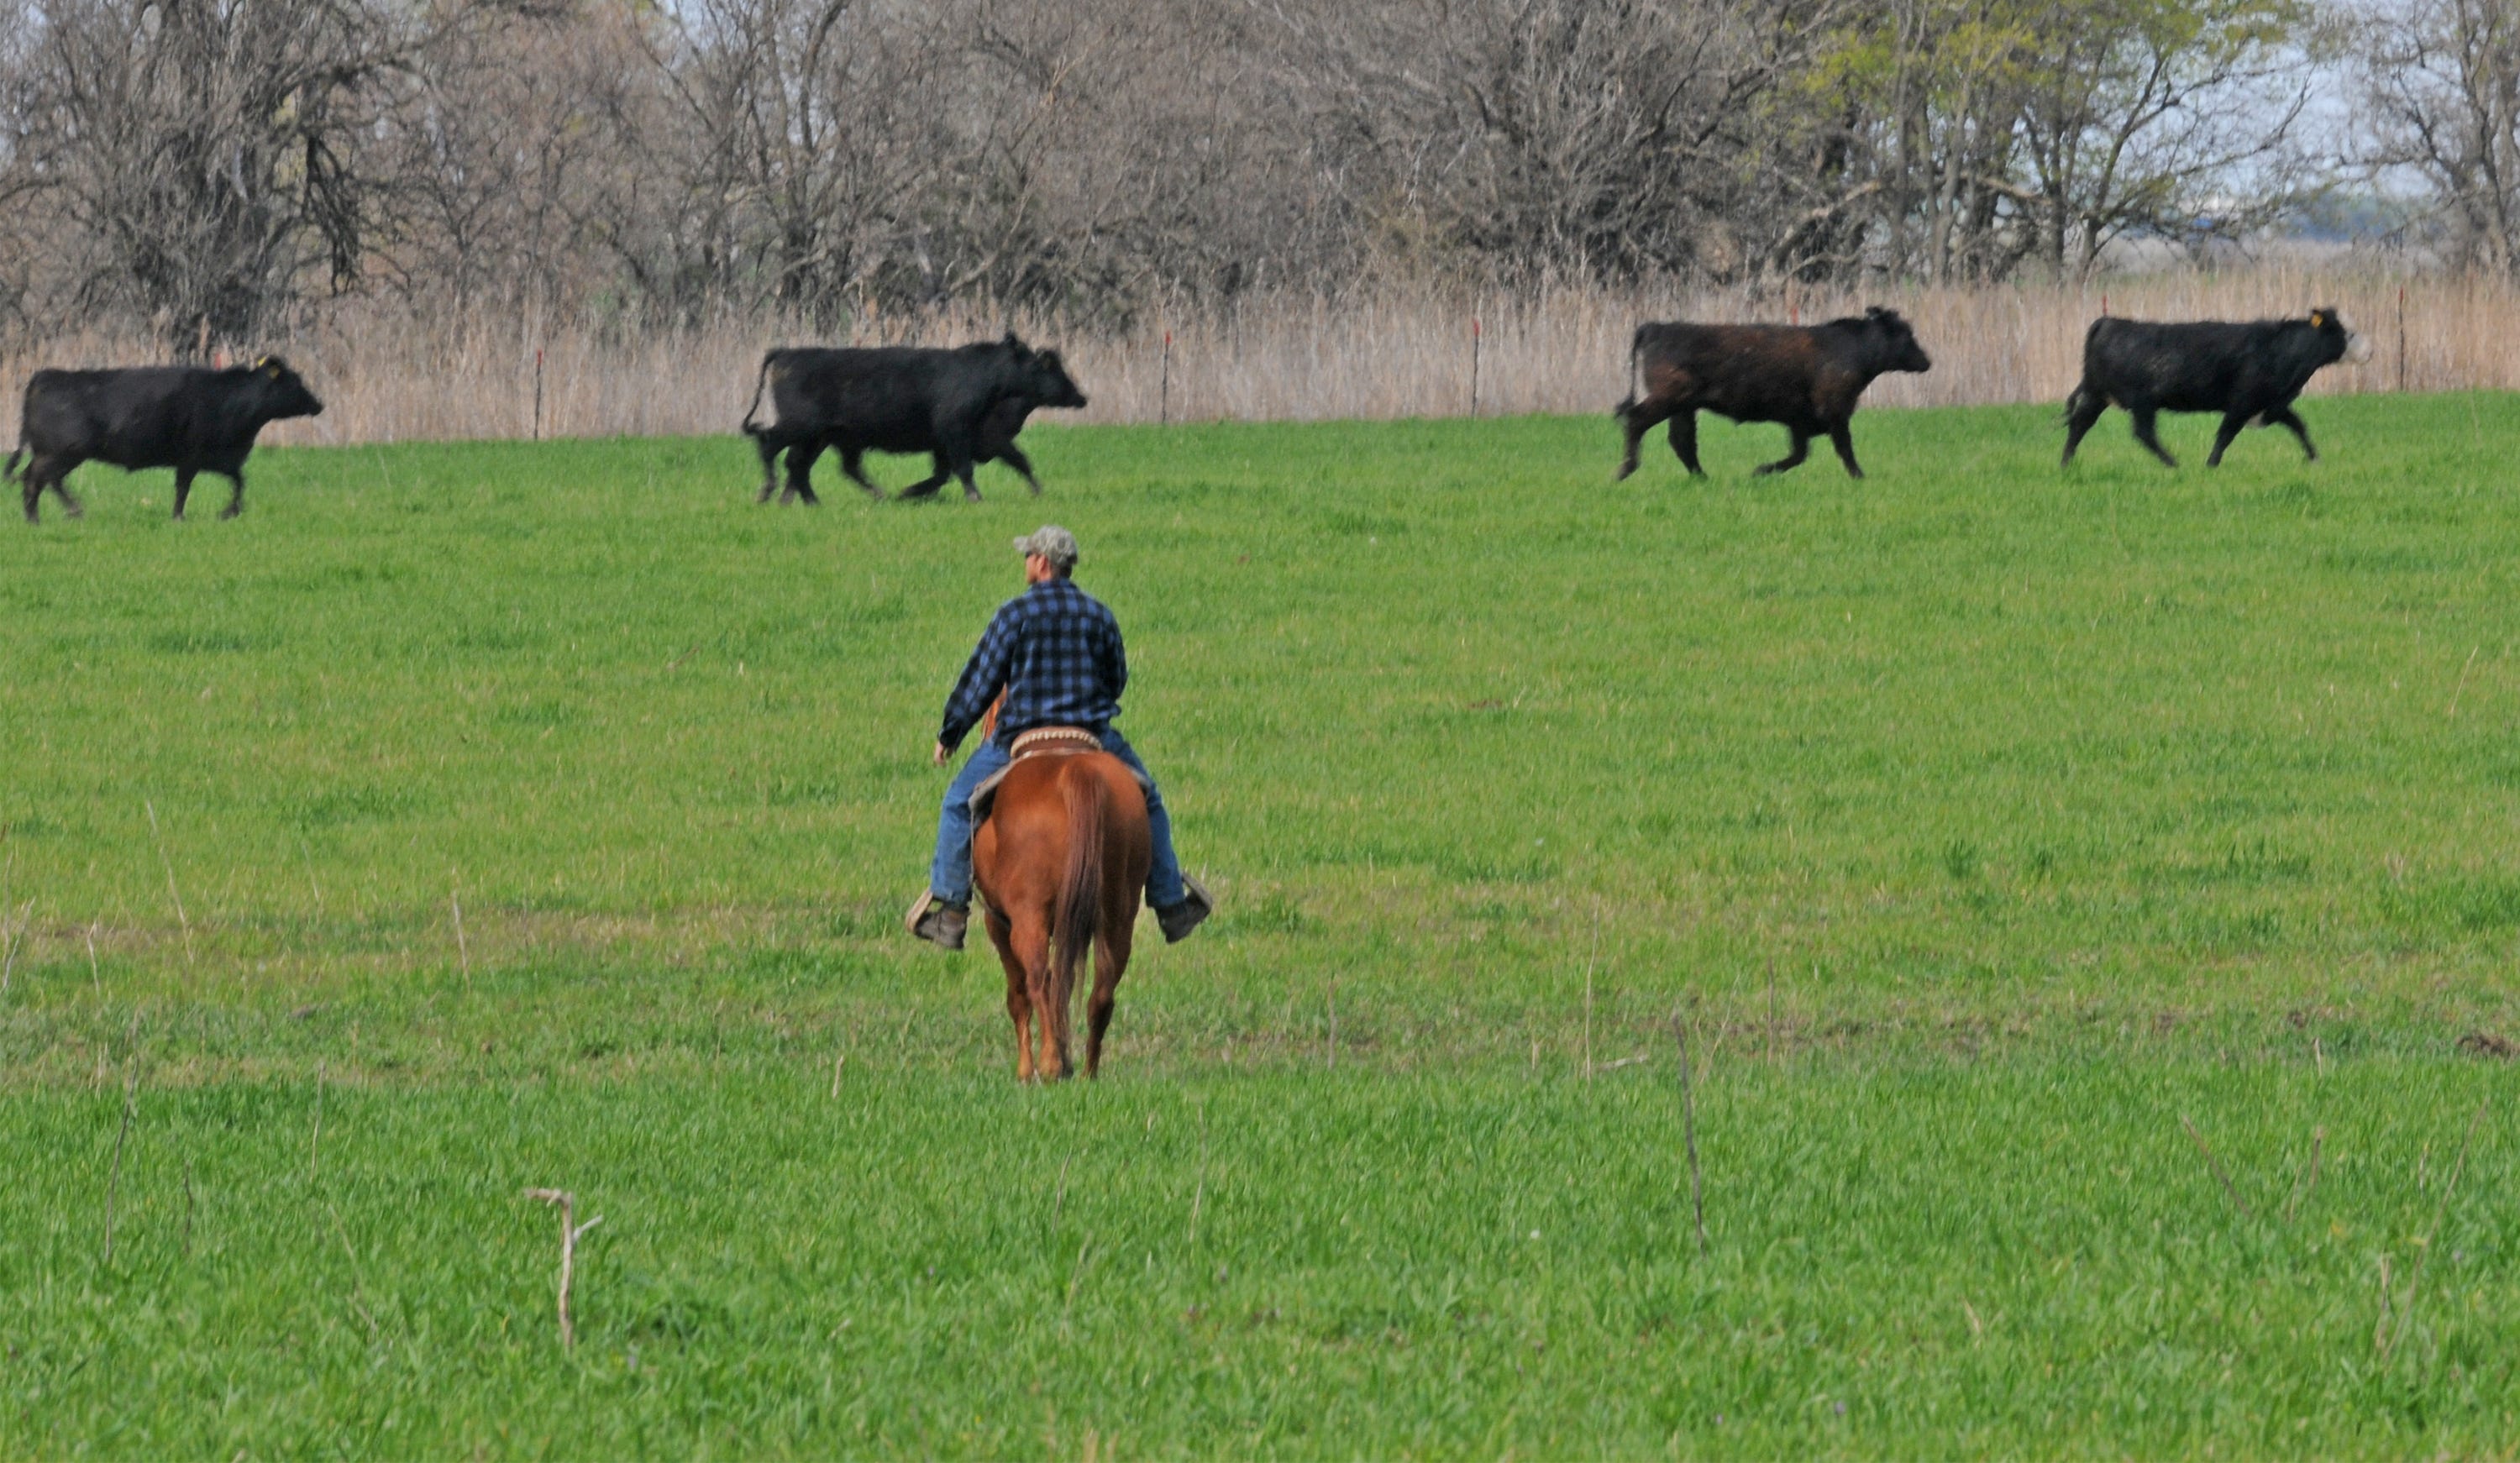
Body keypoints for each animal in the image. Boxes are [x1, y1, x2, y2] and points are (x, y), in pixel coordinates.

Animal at [6, 358, 324, 523]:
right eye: (295, 381)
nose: (319, 404)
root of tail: (45, 376)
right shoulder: (192, 457)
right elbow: (183, 489)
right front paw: (179, 517)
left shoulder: (221, 458)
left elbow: (239, 481)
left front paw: (229, 511)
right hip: (62, 452)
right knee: (35, 480)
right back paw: (37, 518)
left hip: (54, 453)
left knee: (44, 480)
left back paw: (63, 512)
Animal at [739, 334, 1088, 504]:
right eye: (1044, 365)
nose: (1081, 396)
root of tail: (787, 352)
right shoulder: (956, 431)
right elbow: (967, 469)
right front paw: (976, 497)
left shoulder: (949, 443)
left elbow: (950, 472)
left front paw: (910, 492)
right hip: (802, 427)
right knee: (771, 445)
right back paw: (769, 491)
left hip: (822, 436)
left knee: (804, 465)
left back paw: (816, 501)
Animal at [1614, 306, 1932, 481]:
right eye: (1906, 335)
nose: (1927, 361)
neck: (1851, 348)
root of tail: (1657, 327)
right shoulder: (1835, 411)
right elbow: (1844, 448)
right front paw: (1860, 476)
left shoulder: (1800, 420)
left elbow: (1799, 454)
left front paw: (1761, 471)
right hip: (1669, 399)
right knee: (1638, 420)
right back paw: (1625, 470)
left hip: (1683, 407)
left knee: (1682, 441)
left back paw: (1703, 478)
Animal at [2062, 309, 2370, 468]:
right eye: (2350, 333)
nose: (2371, 351)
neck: (2279, 348)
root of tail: (2110, 321)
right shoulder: (2242, 403)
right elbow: (2225, 435)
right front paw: (2211, 464)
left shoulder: (2273, 404)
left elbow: (2299, 426)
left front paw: (2315, 458)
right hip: (2140, 403)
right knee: (2142, 433)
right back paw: (2173, 464)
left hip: (2098, 396)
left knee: (2080, 425)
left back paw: (2066, 463)